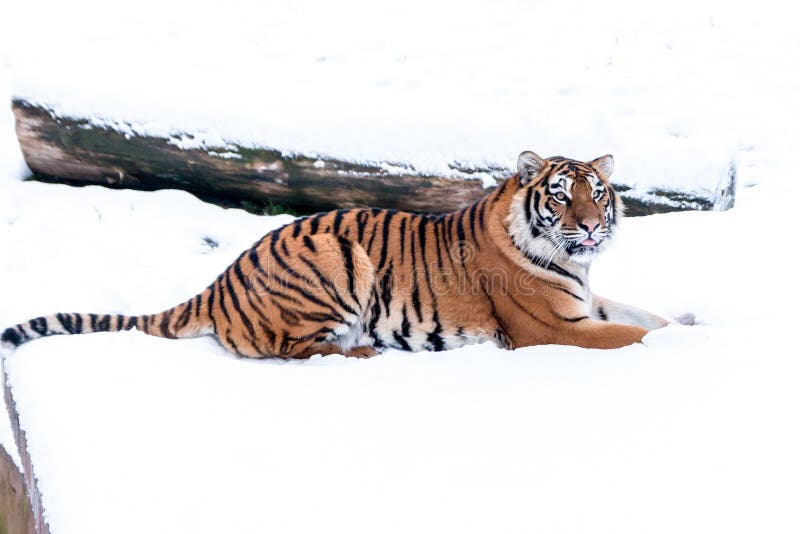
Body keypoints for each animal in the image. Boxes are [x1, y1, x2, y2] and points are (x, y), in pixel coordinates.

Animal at [2, 150, 677, 359]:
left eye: (598, 192)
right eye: (561, 194)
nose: (590, 227)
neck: (574, 262)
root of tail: (220, 282)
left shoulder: (588, 300)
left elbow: (649, 315)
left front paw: (689, 322)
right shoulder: (555, 329)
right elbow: (633, 334)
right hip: (334, 253)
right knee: (292, 350)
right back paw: (362, 353)